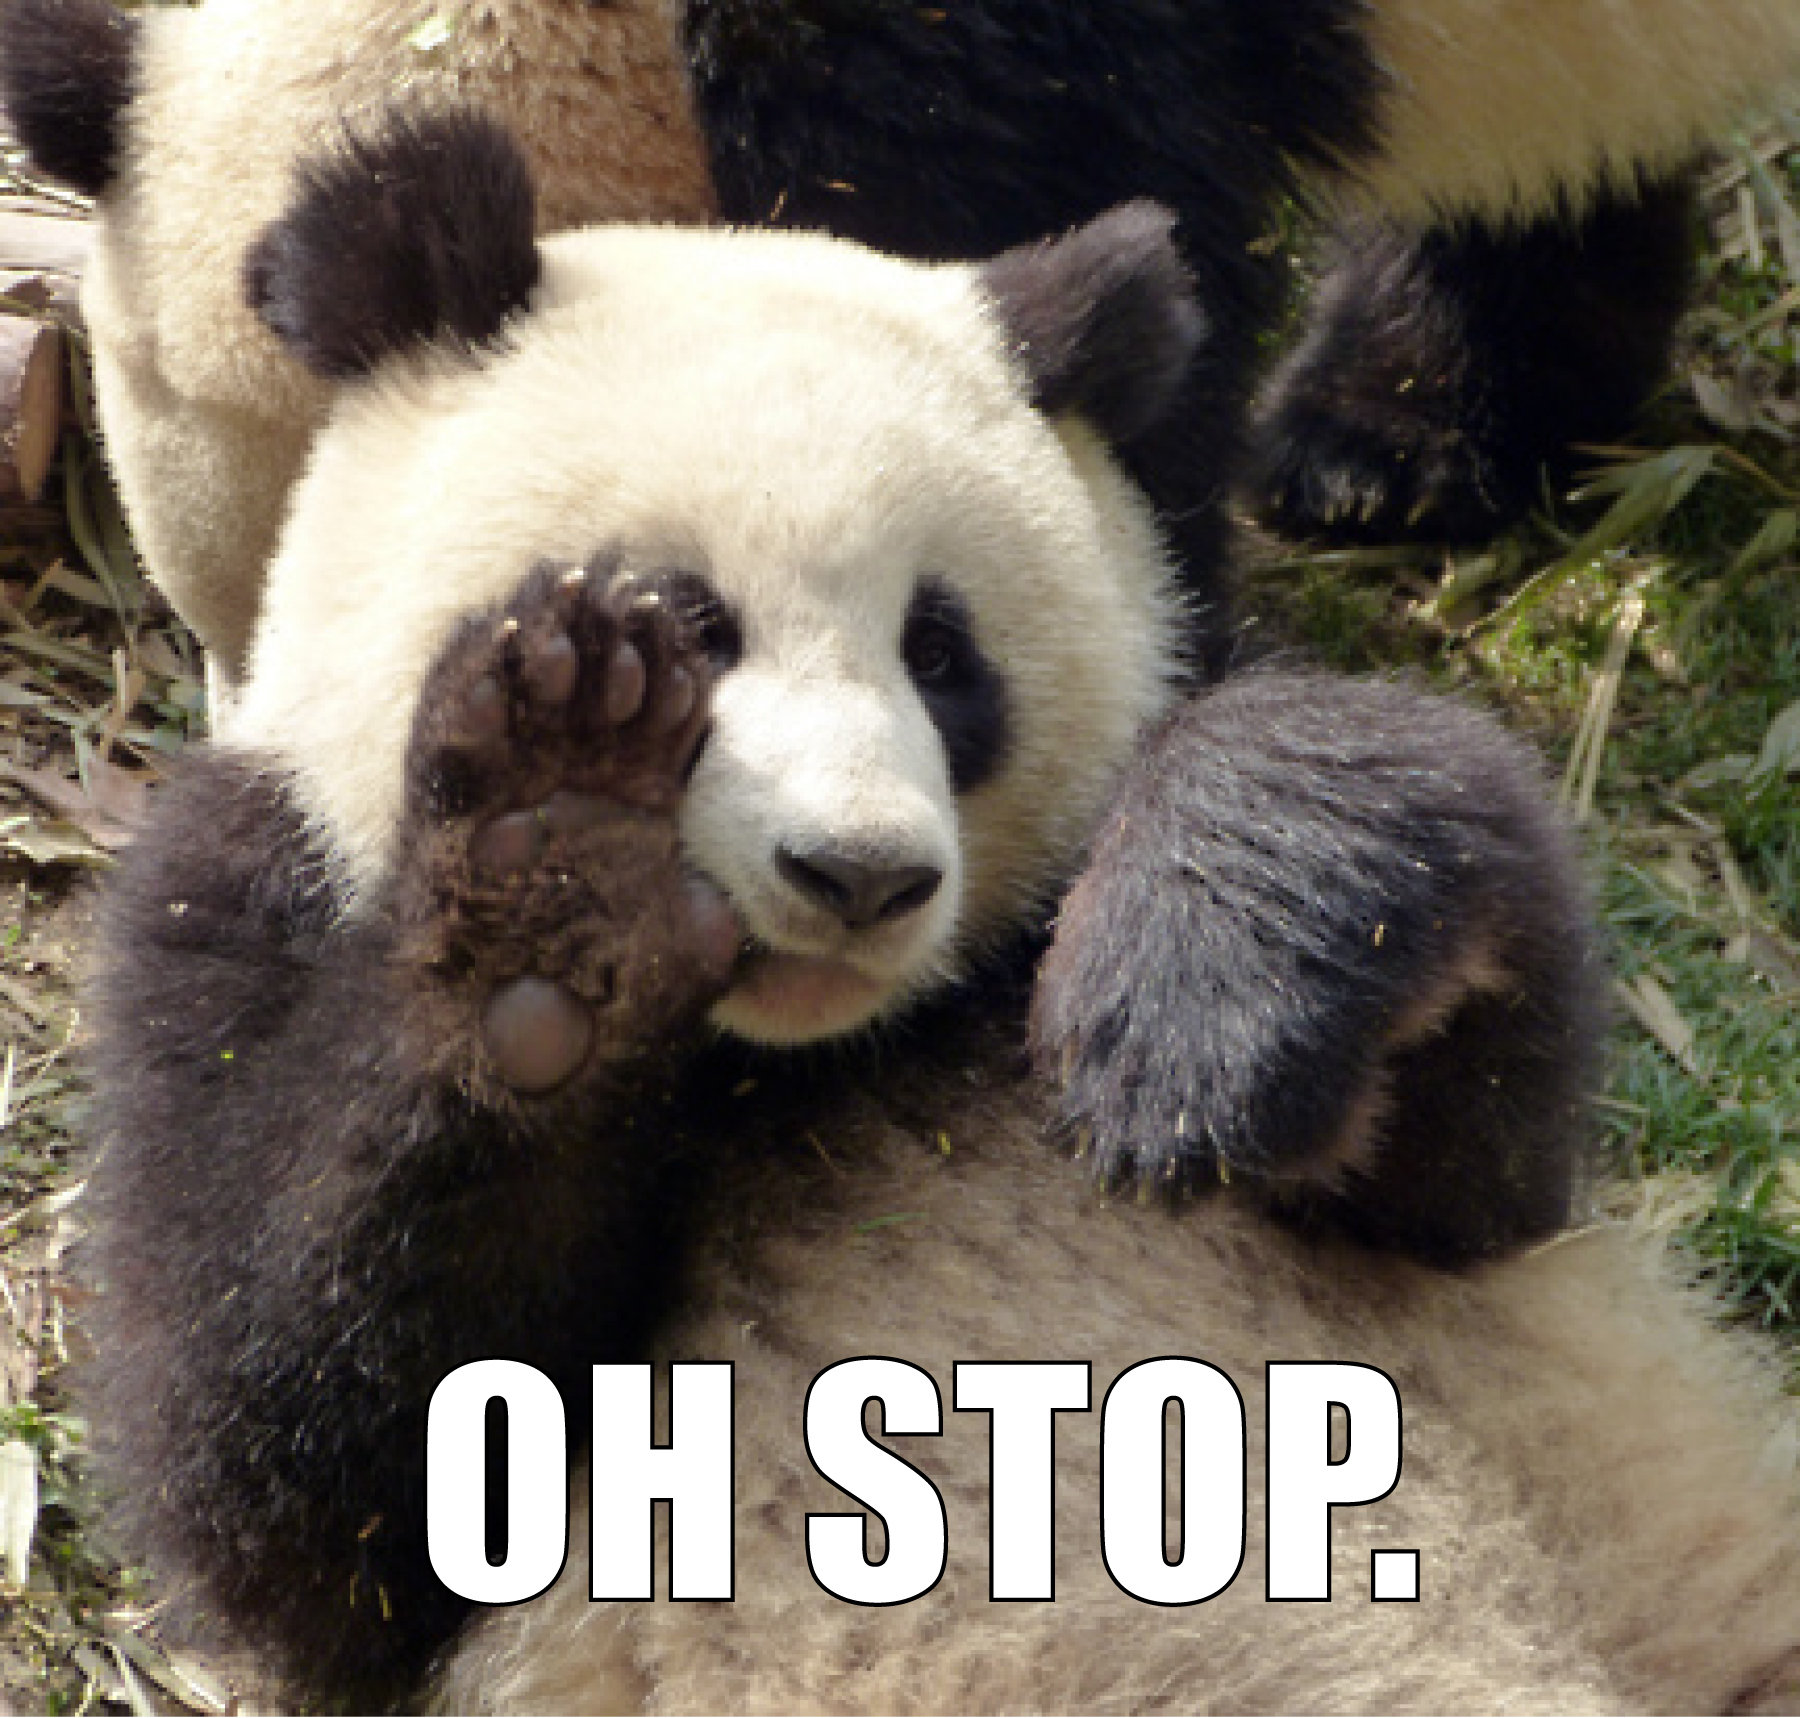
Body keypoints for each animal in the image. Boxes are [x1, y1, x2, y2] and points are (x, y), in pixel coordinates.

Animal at [81, 110, 1800, 1715]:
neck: (800, 1060)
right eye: (693, 620)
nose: (856, 873)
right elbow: (328, 1484)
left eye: (942, 651)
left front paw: (1196, 1013)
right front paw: (553, 872)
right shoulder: (243, 903)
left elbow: (1476, 1142)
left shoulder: (1433, 1223)